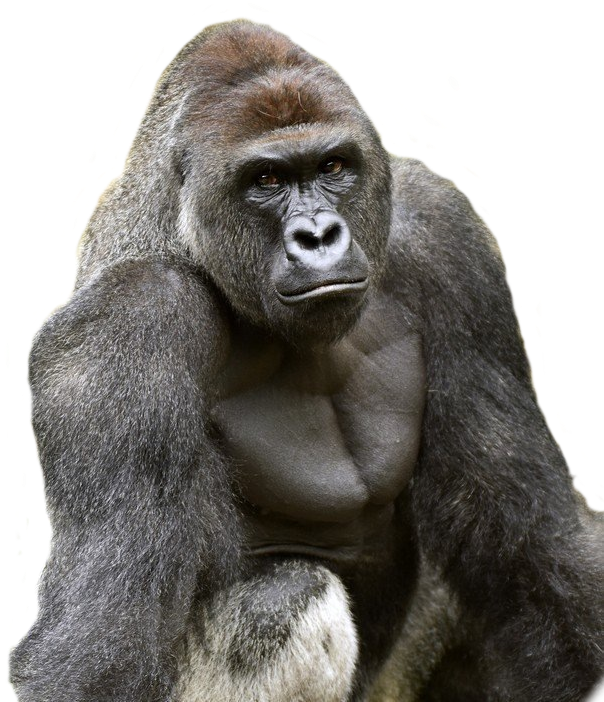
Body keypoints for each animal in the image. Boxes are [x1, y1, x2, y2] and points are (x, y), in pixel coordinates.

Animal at [7, 16, 603, 702]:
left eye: (334, 166)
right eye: (265, 181)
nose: (318, 236)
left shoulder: (445, 234)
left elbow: (534, 551)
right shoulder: (126, 324)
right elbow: (104, 642)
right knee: (288, 596)